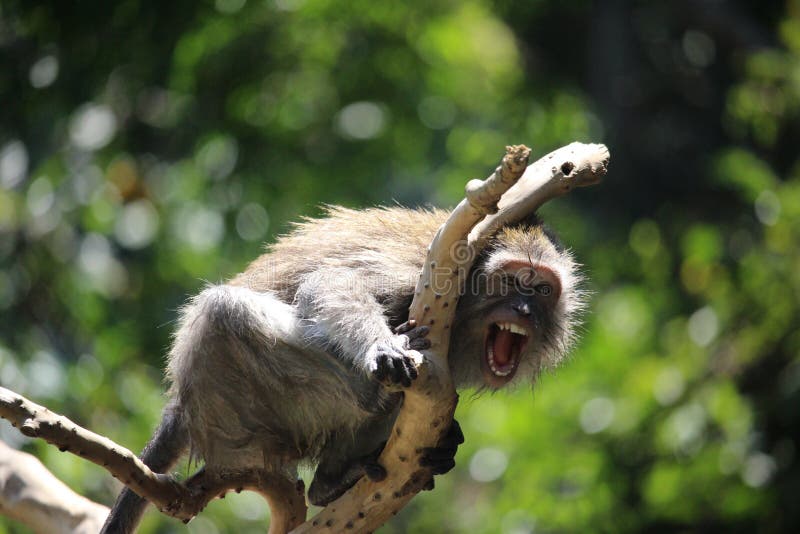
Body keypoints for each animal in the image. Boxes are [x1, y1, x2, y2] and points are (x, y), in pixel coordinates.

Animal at [101, 205, 585, 532]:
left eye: (542, 289)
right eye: (511, 281)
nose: (523, 309)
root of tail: (182, 404)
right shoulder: (428, 274)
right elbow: (331, 284)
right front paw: (381, 348)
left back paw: (331, 480)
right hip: (234, 406)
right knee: (223, 313)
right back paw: (375, 400)